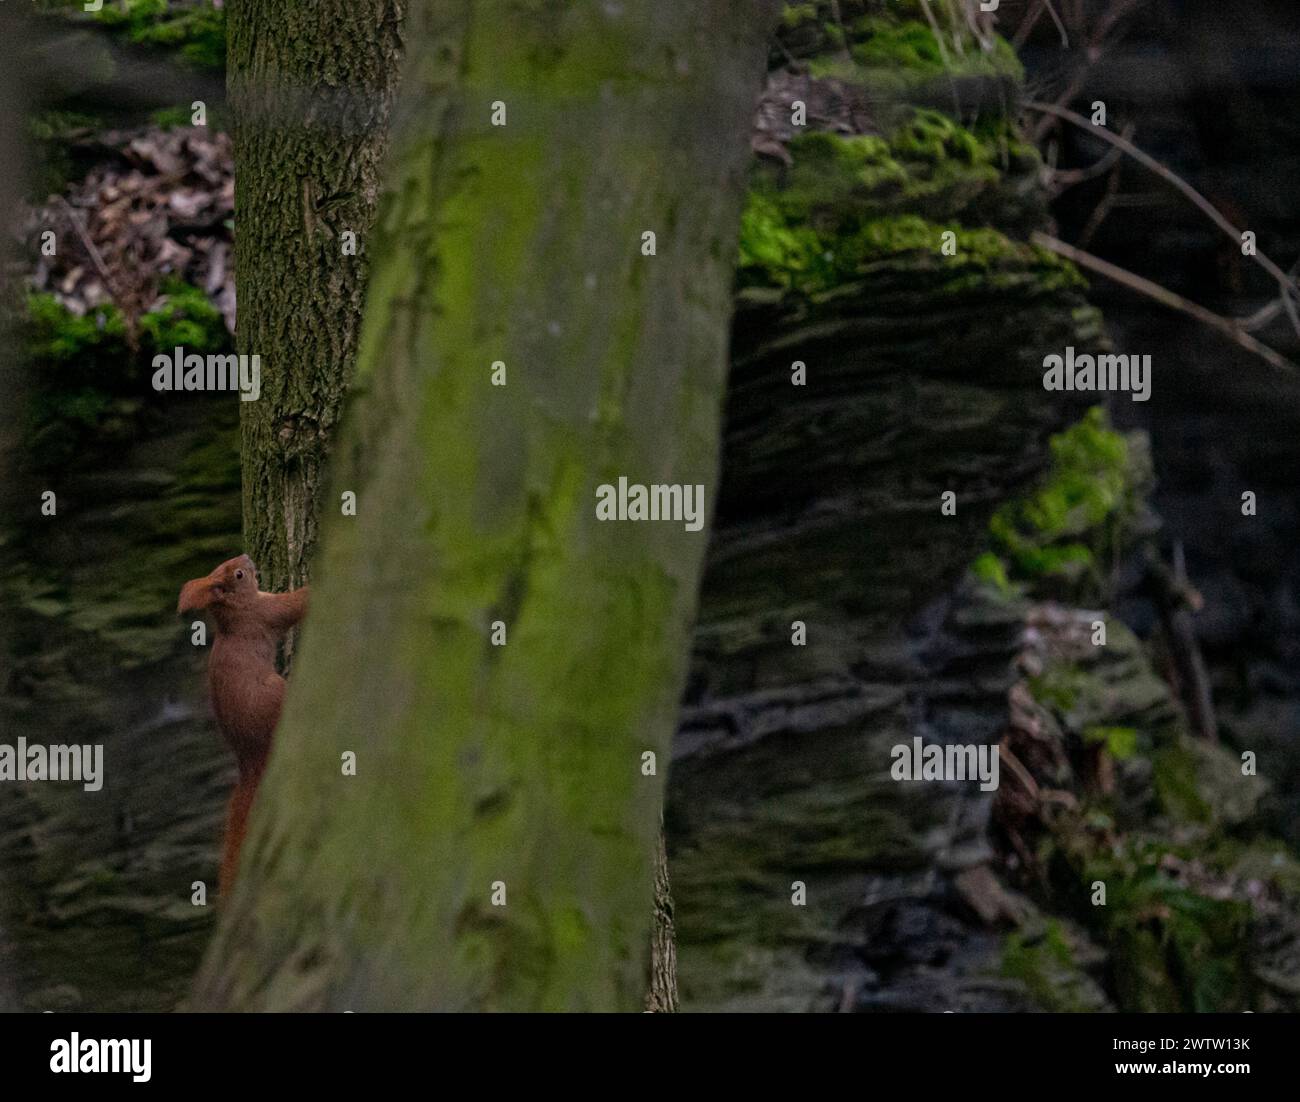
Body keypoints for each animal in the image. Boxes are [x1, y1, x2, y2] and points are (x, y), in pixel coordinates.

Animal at [177, 554, 309, 895]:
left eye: (228, 566)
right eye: (237, 574)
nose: (247, 558)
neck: (236, 612)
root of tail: (250, 759)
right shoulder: (268, 612)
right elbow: (297, 603)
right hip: (275, 694)